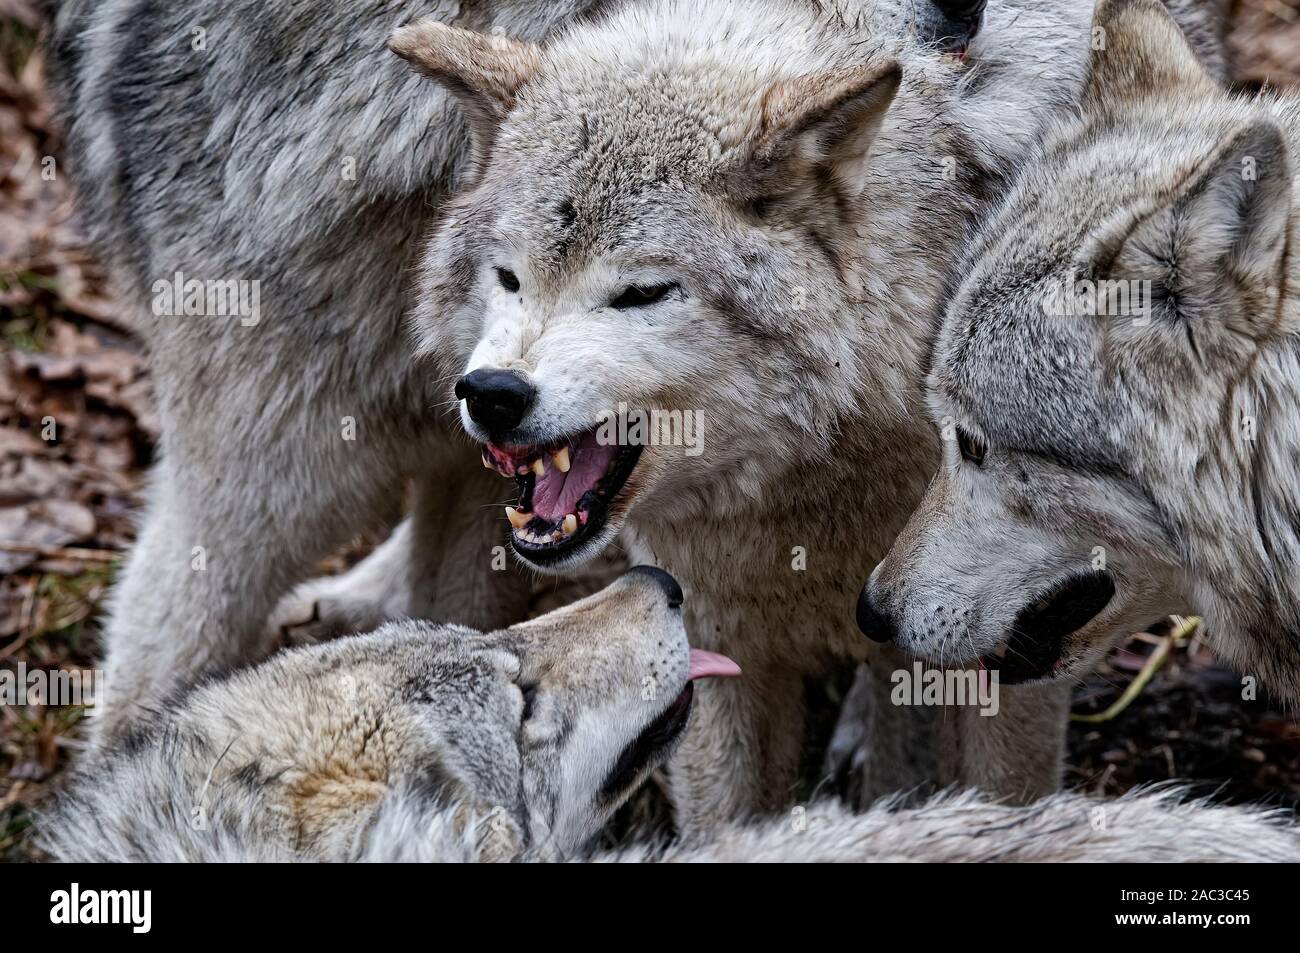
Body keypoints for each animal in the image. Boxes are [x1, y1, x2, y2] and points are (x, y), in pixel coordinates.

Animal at [389, 0, 1226, 828]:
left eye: (643, 292)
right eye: (509, 277)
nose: (493, 393)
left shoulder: (1014, 643)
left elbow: (1001, 787)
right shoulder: (711, 631)